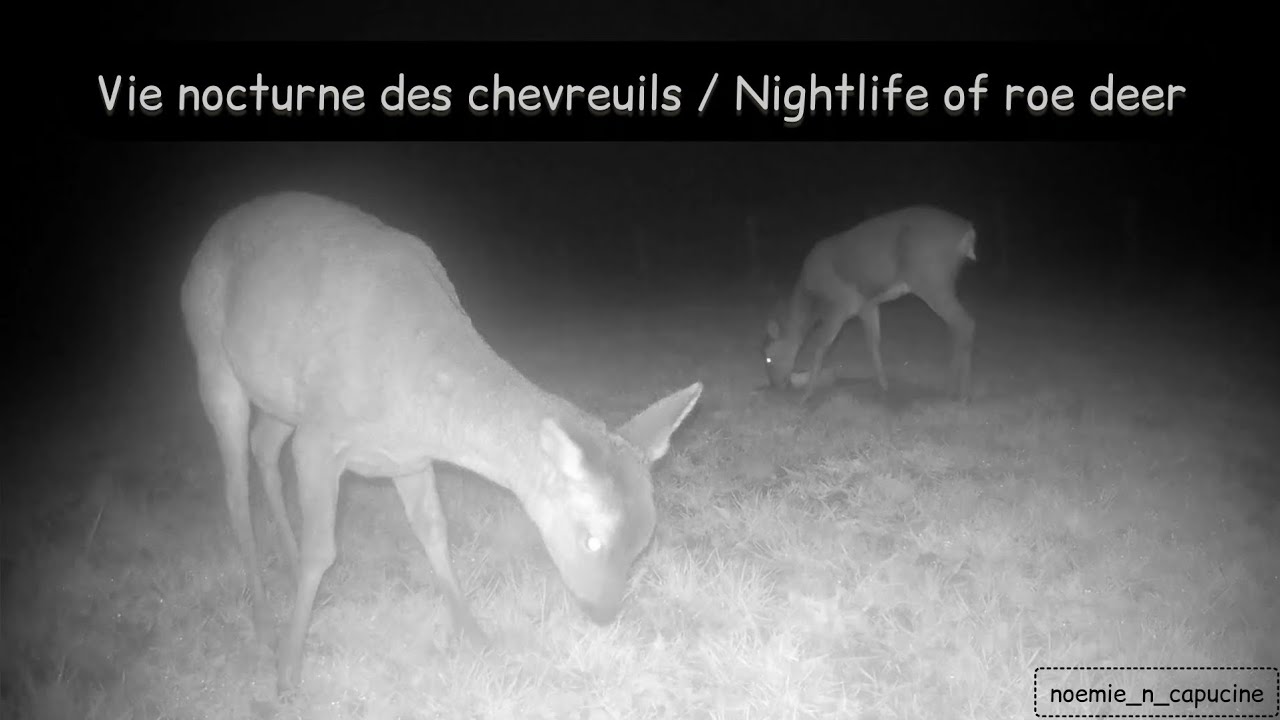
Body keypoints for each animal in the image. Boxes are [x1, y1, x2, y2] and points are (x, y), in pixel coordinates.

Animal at [179, 190, 704, 696]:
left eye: (643, 543)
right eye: (591, 539)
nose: (604, 613)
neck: (421, 403)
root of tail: (207, 241)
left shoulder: (408, 457)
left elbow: (434, 532)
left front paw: (476, 636)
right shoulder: (320, 438)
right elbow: (321, 551)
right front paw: (288, 672)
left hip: (281, 396)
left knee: (263, 445)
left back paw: (283, 568)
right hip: (213, 356)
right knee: (235, 486)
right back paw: (264, 619)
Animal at [762, 205, 977, 404]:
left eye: (768, 357)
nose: (775, 385)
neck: (812, 297)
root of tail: (968, 230)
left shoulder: (841, 304)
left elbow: (821, 346)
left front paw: (805, 396)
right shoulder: (867, 305)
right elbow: (873, 344)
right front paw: (884, 386)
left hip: (930, 278)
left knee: (965, 323)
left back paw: (962, 395)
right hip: (945, 279)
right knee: (957, 326)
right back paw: (951, 390)